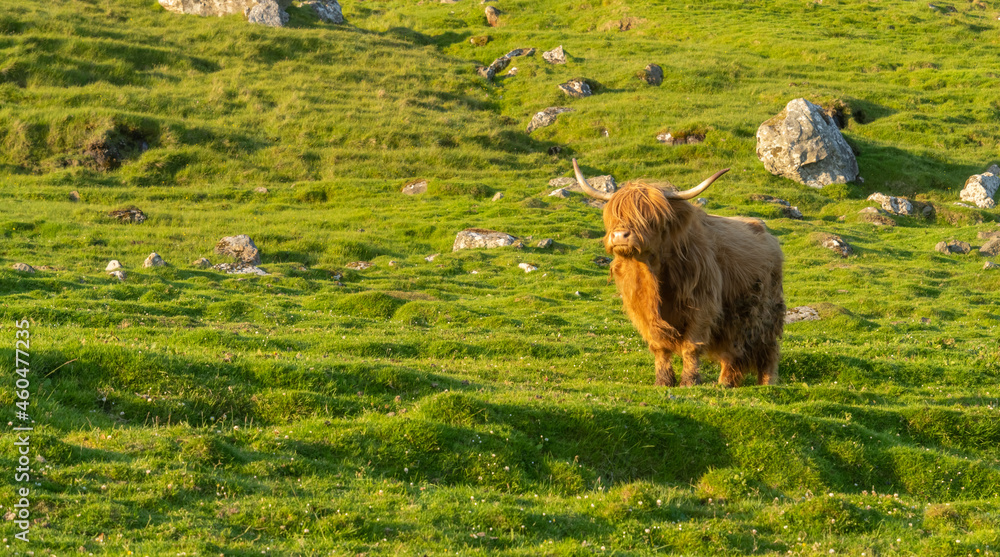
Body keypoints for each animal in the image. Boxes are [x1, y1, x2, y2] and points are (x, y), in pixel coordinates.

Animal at [572, 159, 785, 387]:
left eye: (650, 219)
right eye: (615, 215)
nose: (620, 235)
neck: (653, 274)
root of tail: (766, 233)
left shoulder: (702, 306)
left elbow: (691, 346)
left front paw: (689, 381)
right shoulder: (642, 310)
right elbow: (659, 347)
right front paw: (663, 381)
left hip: (766, 313)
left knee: (767, 349)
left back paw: (766, 382)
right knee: (732, 352)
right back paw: (725, 383)